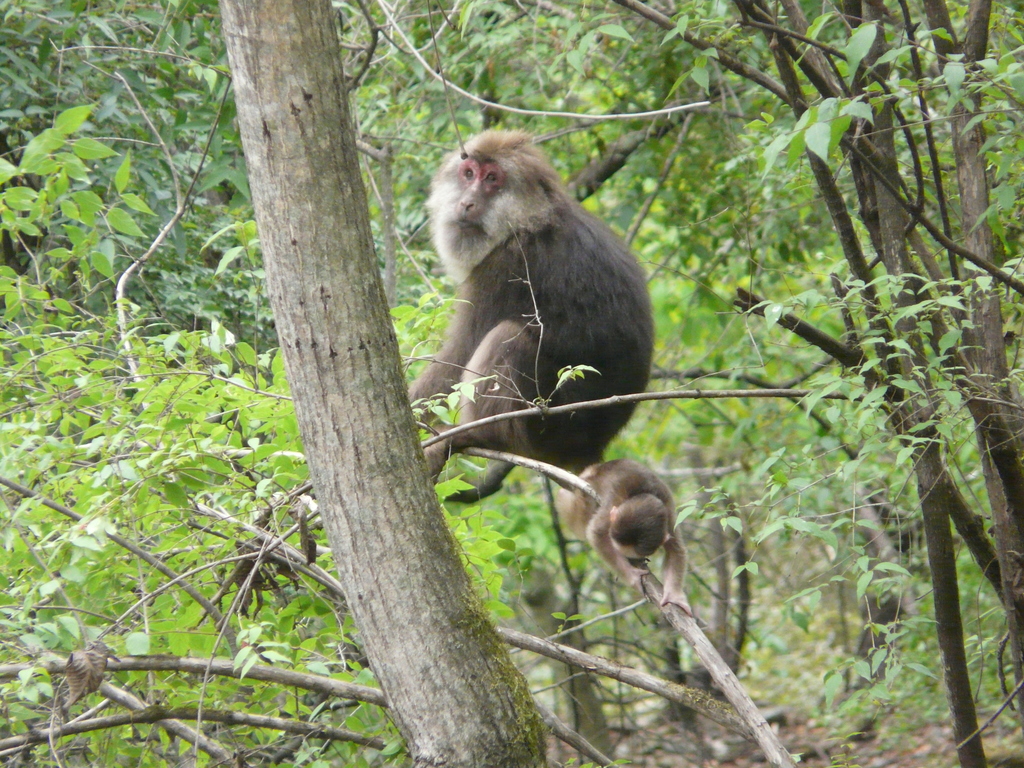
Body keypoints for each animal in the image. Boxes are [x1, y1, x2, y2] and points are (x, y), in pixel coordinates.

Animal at [409, 130, 654, 499]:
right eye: (468, 174)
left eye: (492, 179)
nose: (466, 203)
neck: (527, 221)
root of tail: (590, 449)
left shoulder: (506, 267)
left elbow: (456, 358)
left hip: (548, 426)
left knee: (507, 335)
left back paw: (478, 435)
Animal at [555, 459, 691, 614]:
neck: (642, 492)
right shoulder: (611, 507)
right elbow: (596, 533)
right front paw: (632, 576)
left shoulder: (669, 515)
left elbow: (675, 549)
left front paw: (673, 596)